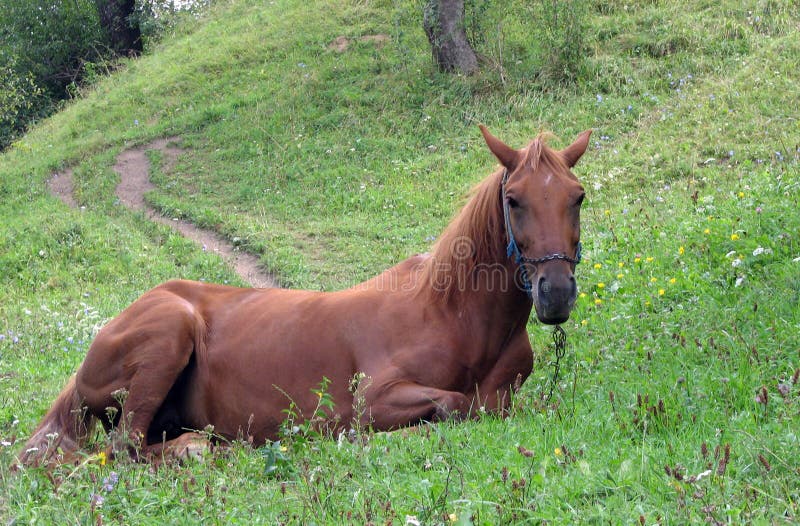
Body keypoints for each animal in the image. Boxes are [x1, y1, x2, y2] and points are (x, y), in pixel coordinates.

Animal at [21, 125, 590, 465]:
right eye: (513, 200)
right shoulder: (376, 397)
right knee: (126, 448)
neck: (454, 317)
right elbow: (457, 405)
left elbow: (491, 405)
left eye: (578, 197)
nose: (557, 293)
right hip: (169, 332)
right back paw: (199, 449)